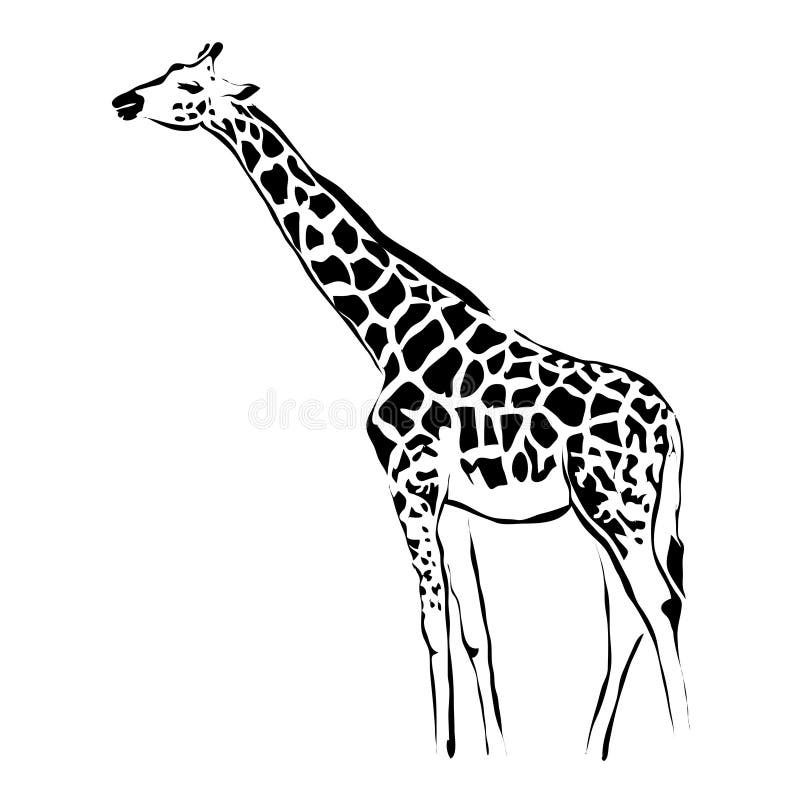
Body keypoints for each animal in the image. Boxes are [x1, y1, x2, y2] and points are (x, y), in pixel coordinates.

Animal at [113, 43, 689, 759]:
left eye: (188, 88)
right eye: (166, 73)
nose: (125, 101)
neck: (388, 332)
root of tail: (670, 421)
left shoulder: (409, 482)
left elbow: (431, 624)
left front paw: (445, 752)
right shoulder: (458, 504)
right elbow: (475, 632)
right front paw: (493, 754)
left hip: (614, 504)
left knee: (658, 604)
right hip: (626, 510)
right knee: (632, 615)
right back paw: (593, 751)